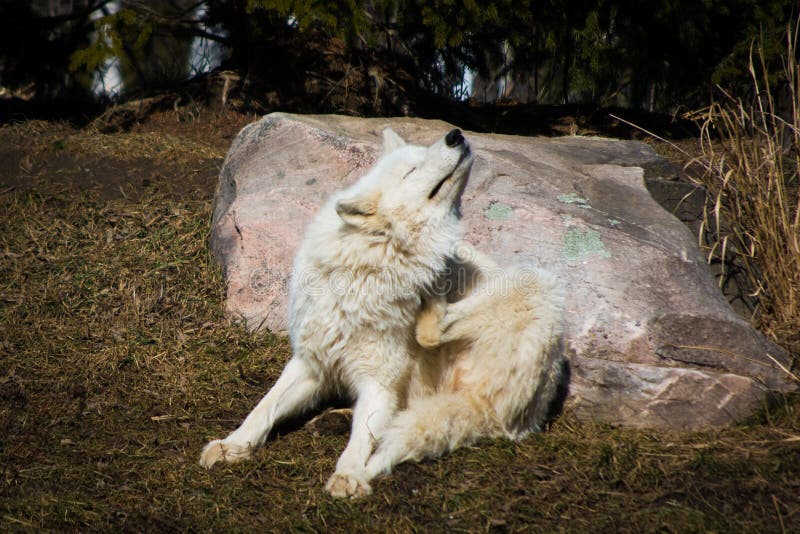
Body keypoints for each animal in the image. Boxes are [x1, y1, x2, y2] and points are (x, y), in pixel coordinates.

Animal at [200, 127, 565, 498]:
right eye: (412, 170)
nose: (455, 134)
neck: (364, 271)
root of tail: (496, 413)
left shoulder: (380, 381)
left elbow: (362, 440)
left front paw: (349, 475)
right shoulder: (312, 362)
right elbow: (264, 407)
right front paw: (233, 445)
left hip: (533, 280)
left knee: (426, 350)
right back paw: (336, 417)